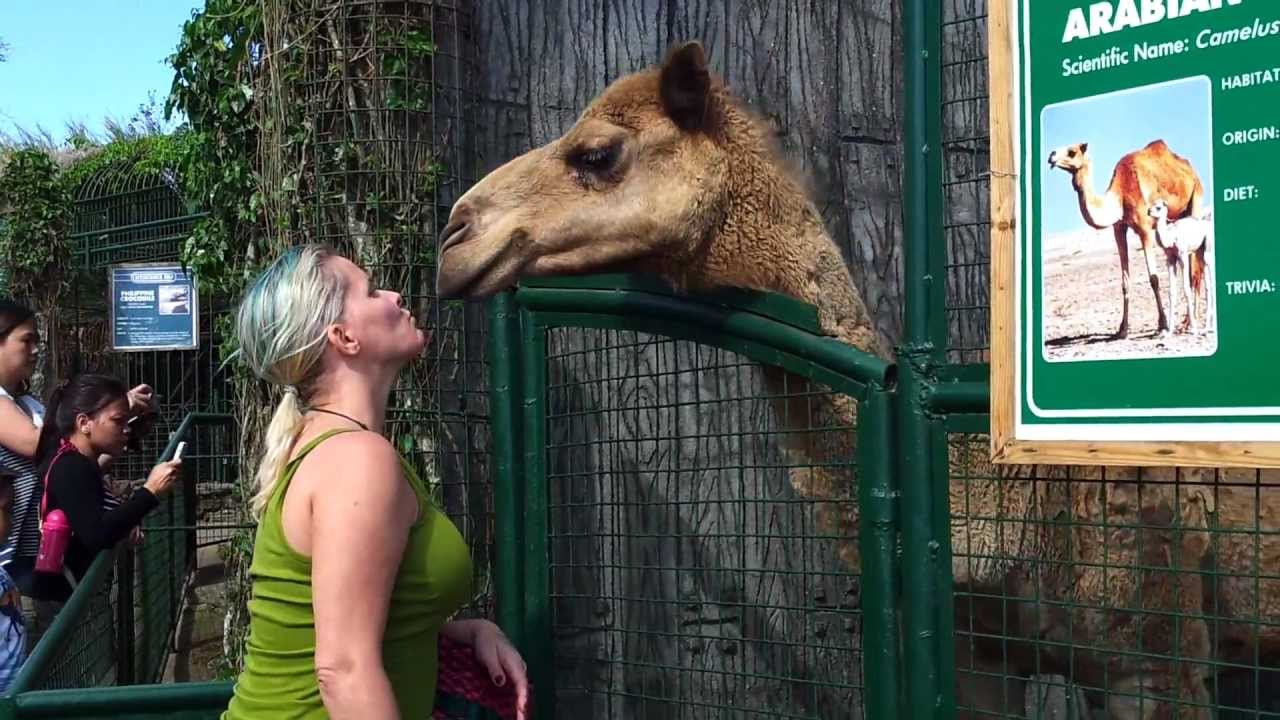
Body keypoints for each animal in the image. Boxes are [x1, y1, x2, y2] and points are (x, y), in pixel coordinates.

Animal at [1147, 198, 1214, 334]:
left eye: (1158, 207)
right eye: (1151, 204)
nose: (1148, 211)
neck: (1171, 237)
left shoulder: (1183, 255)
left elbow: (1186, 288)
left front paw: (1193, 328)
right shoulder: (1170, 259)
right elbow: (1171, 292)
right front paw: (1169, 331)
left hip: (1207, 249)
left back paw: (1210, 327)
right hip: (1199, 253)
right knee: (1207, 285)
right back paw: (1206, 327)